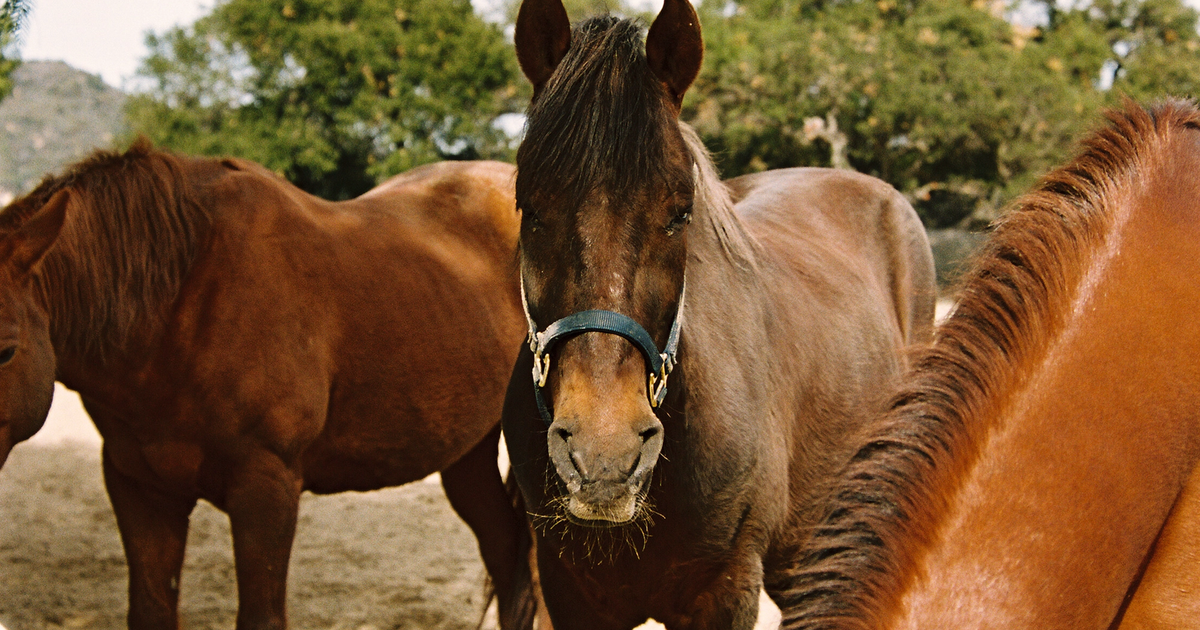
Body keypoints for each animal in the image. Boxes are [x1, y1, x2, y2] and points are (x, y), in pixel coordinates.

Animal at [0, 140, 538, 630]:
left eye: (6, 350)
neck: (177, 307)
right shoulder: (140, 486)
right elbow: (150, 611)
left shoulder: (266, 487)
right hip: (466, 454)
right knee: (506, 555)